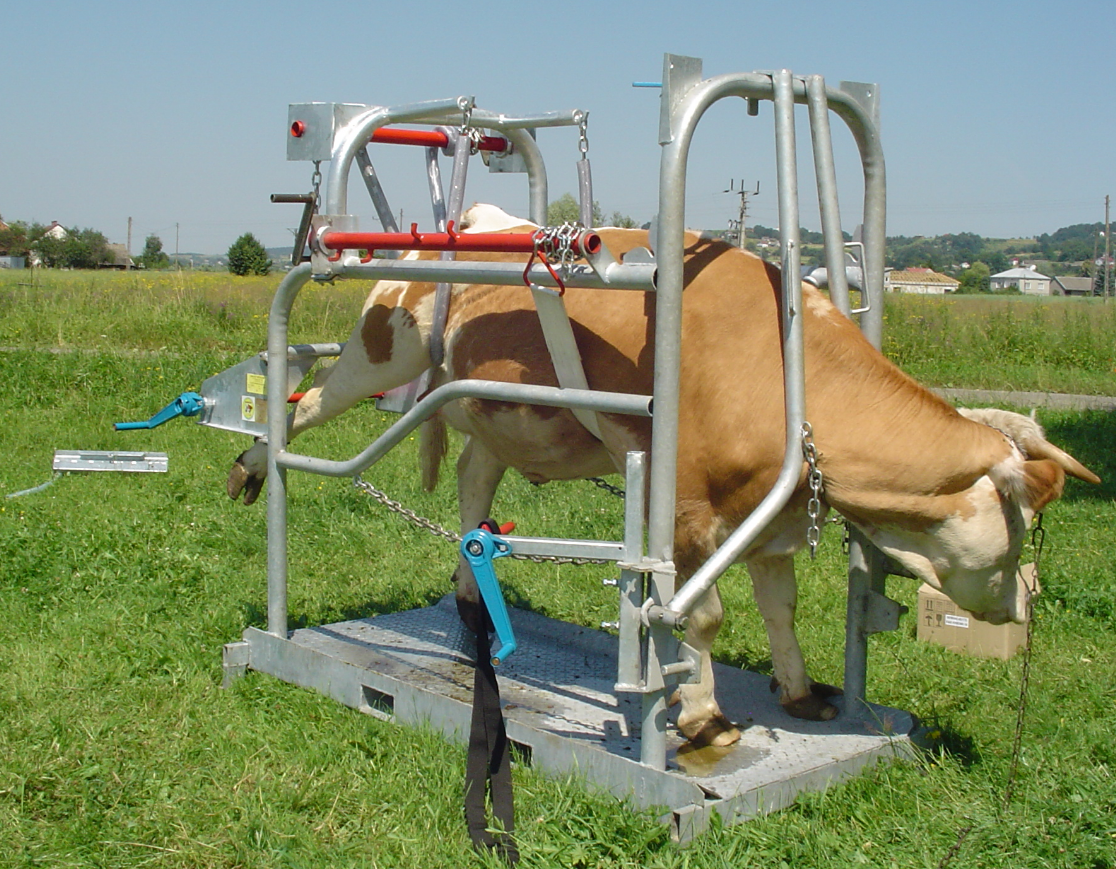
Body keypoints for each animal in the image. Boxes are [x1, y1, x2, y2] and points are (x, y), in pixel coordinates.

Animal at [227, 203, 1098, 748]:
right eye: (1015, 536)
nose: (1022, 607)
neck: (786, 371)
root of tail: (469, 224)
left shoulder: (773, 509)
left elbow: (780, 607)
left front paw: (800, 691)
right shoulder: (684, 508)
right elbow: (703, 616)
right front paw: (704, 715)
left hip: (496, 411)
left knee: (475, 486)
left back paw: (475, 606)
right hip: (383, 350)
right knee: (303, 406)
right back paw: (253, 466)